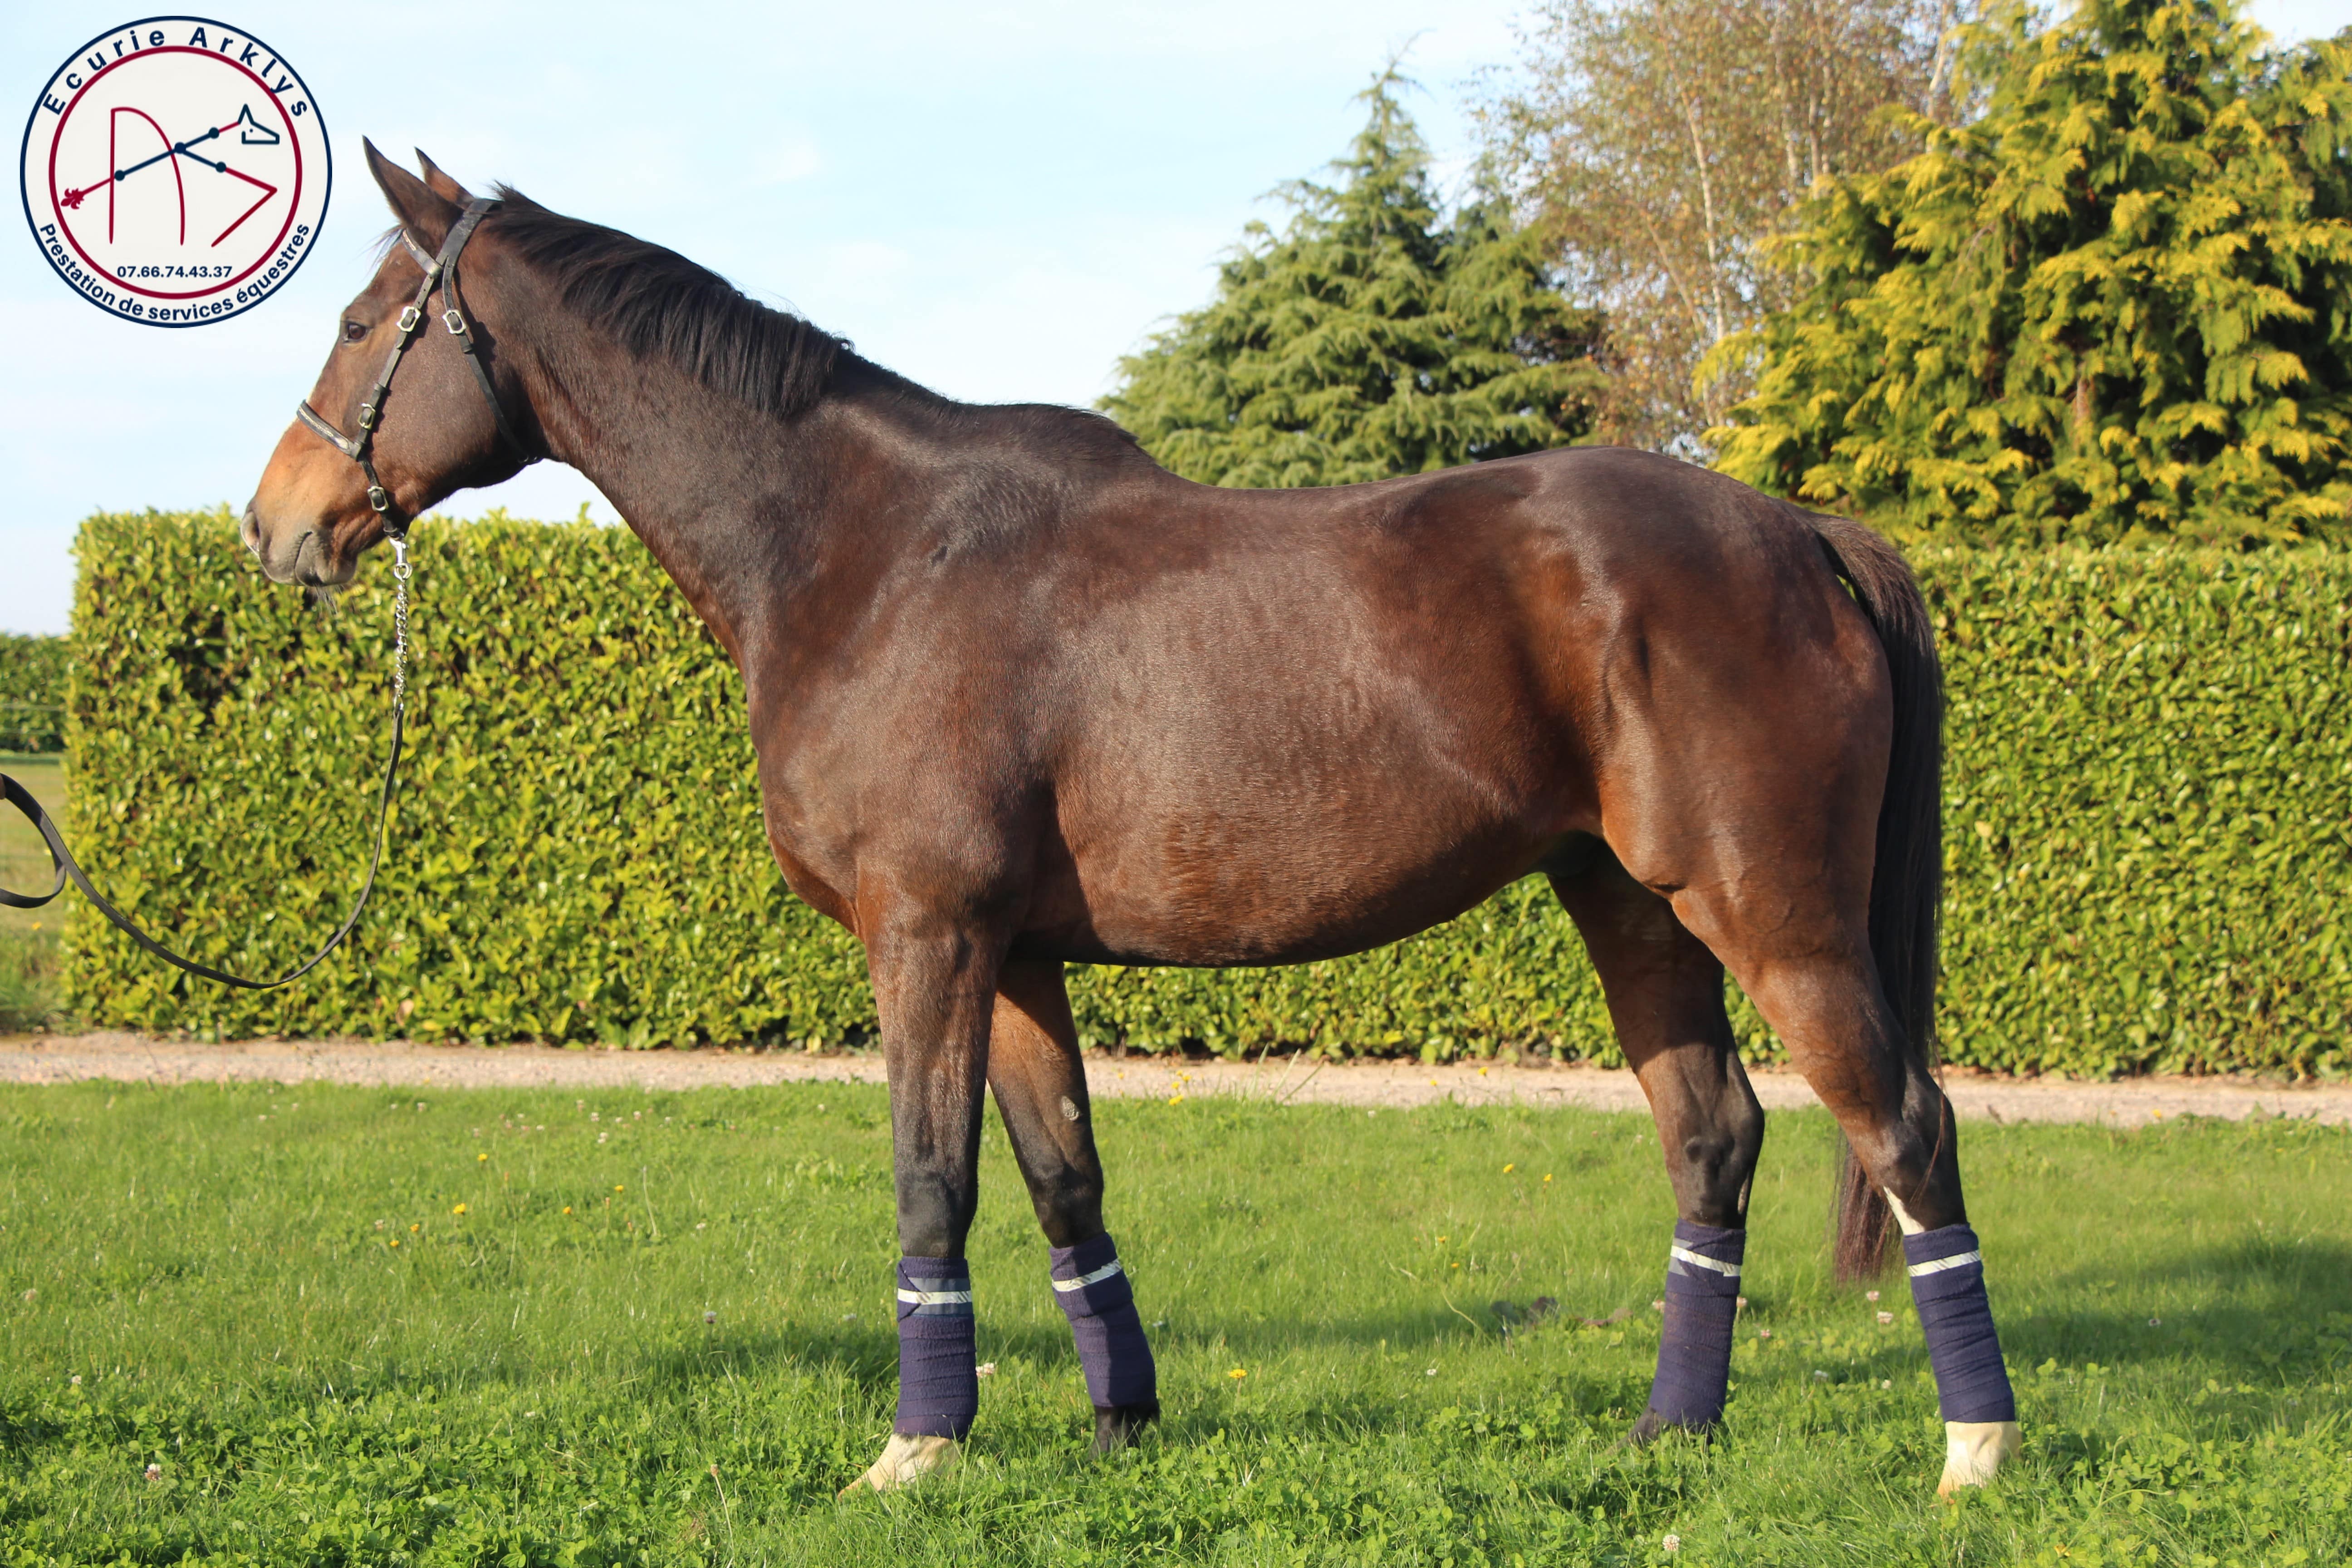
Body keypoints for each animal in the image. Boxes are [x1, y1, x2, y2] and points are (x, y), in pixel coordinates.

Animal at [243, 145, 2022, 1496]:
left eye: (362, 320)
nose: (276, 528)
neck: (864, 550)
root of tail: (1793, 530)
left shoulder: (928, 936)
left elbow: (931, 1180)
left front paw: (915, 1451)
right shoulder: (1016, 954)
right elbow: (1062, 1182)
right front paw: (1116, 1422)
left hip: (1770, 909)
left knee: (1905, 1127)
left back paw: (1973, 1451)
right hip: (1630, 903)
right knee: (1713, 1135)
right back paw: (1668, 1436)